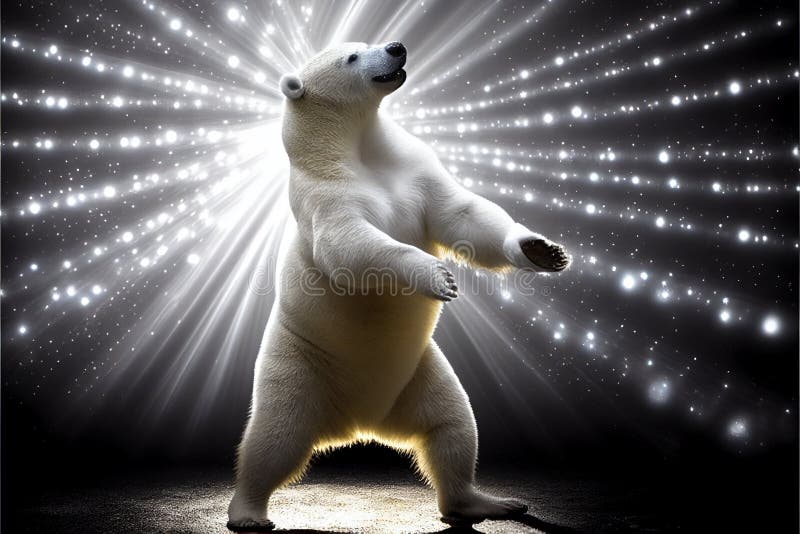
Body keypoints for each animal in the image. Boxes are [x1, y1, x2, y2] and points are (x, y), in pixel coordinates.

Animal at [226, 41, 570, 532]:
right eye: (351, 57)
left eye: (366, 41)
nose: (396, 47)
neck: (355, 147)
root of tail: (358, 423)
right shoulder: (324, 195)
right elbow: (351, 246)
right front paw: (437, 276)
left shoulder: (416, 170)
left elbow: (461, 213)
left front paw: (541, 250)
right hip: (300, 364)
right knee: (274, 438)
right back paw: (248, 513)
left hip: (417, 376)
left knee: (453, 423)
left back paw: (485, 502)